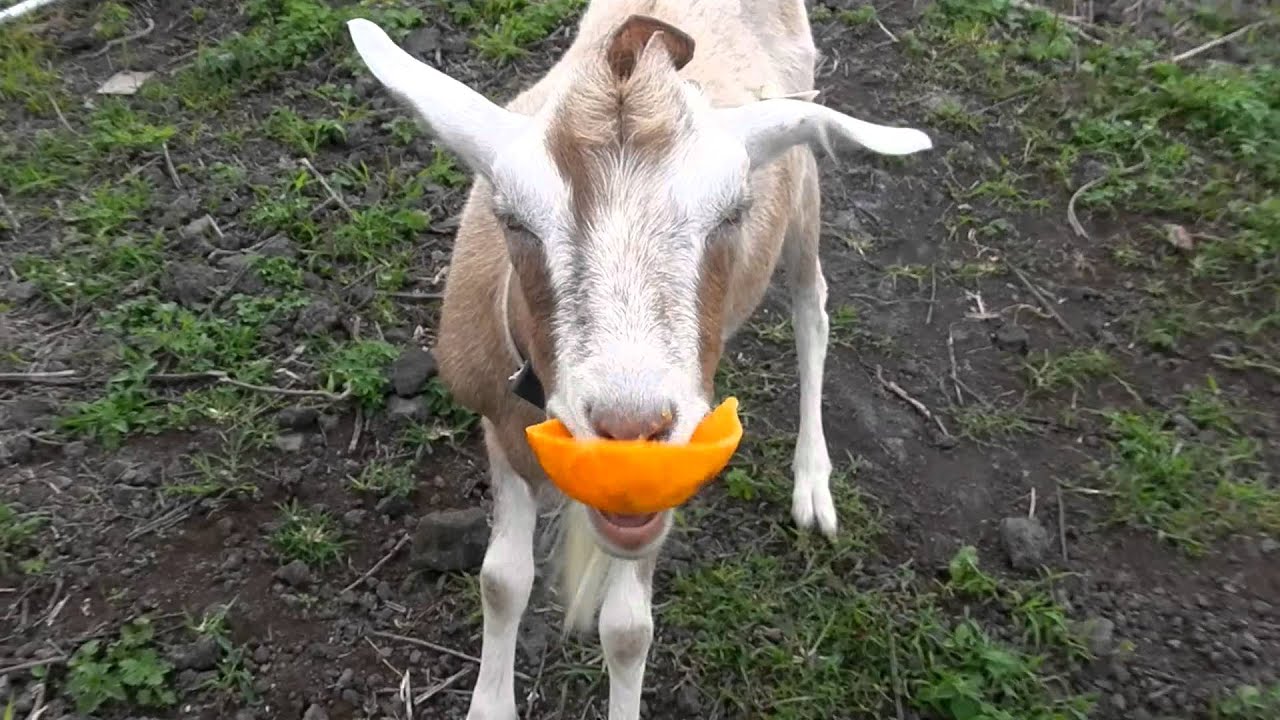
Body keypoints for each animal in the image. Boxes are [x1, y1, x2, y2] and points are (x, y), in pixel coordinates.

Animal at [347, 2, 931, 717]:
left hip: (802, 176)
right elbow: (501, 580)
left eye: (733, 213)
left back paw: (812, 483)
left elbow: (626, 631)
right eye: (512, 220)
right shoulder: (495, 416)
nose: (629, 430)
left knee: (811, 304)